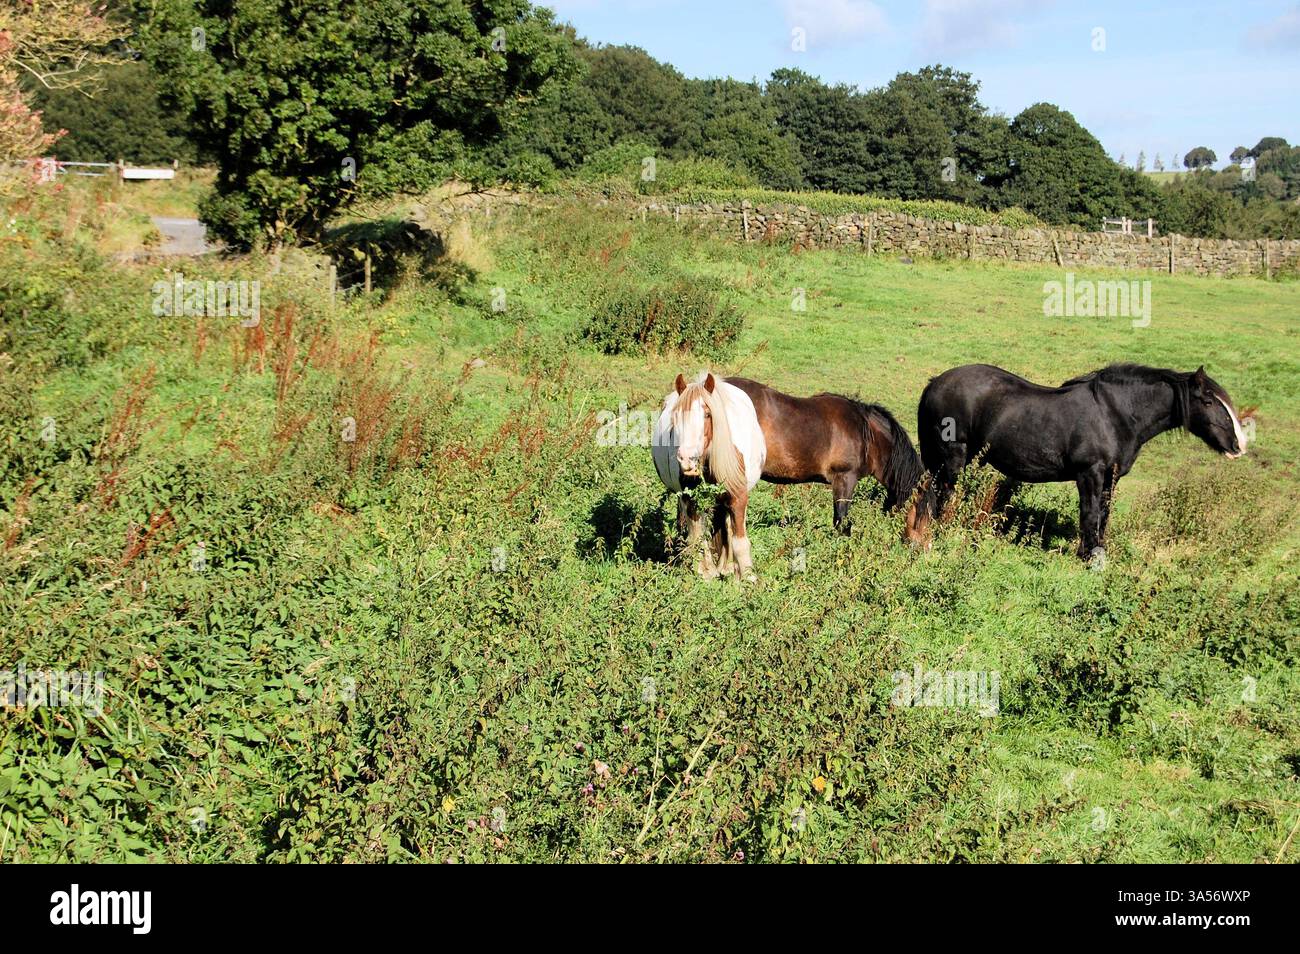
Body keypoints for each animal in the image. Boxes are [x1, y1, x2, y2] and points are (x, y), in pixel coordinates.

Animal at [653, 372, 766, 580]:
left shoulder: (738, 497)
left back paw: (728, 567)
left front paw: (747, 577)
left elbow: (739, 539)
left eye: (707, 414)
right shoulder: (691, 499)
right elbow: (698, 536)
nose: (686, 458)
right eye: (676, 416)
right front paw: (704, 572)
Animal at [912, 363, 1249, 561]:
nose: (1238, 446)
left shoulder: (1111, 478)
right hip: (952, 458)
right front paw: (1088, 556)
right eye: (1208, 401)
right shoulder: (1090, 474)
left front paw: (1099, 551)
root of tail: (935, 383)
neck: (1115, 414)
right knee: (941, 497)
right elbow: (1089, 514)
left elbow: (1103, 514)